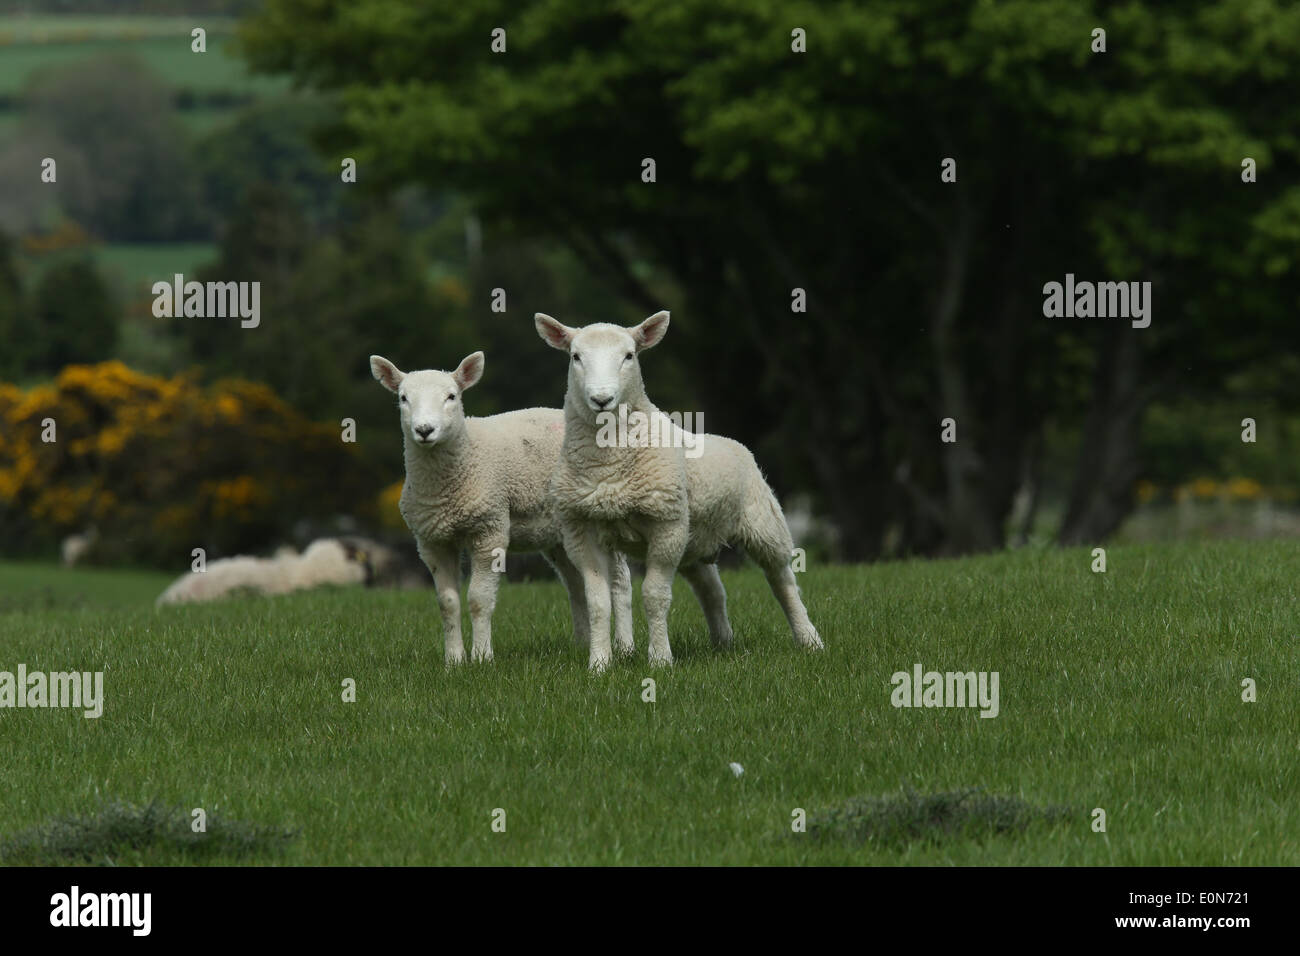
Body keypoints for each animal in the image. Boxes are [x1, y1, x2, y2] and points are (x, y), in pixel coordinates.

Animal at [370, 351, 634, 664]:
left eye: (451, 396)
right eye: (403, 398)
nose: (424, 430)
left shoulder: (490, 527)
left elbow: (478, 599)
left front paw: (482, 657)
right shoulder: (432, 540)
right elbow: (447, 603)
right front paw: (454, 661)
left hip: (603, 515)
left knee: (620, 582)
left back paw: (624, 646)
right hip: (561, 534)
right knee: (577, 585)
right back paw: (583, 644)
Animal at [535, 310, 823, 671]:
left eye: (629, 355)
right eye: (575, 356)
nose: (601, 400)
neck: (608, 466)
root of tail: (732, 442)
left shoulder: (666, 525)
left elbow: (654, 596)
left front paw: (660, 659)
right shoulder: (581, 531)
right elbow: (598, 602)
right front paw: (599, 665)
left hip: (762, 521)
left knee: (782, 579)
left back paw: (809, 639)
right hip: (695, 540)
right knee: (712, 590)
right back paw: (723, 641)